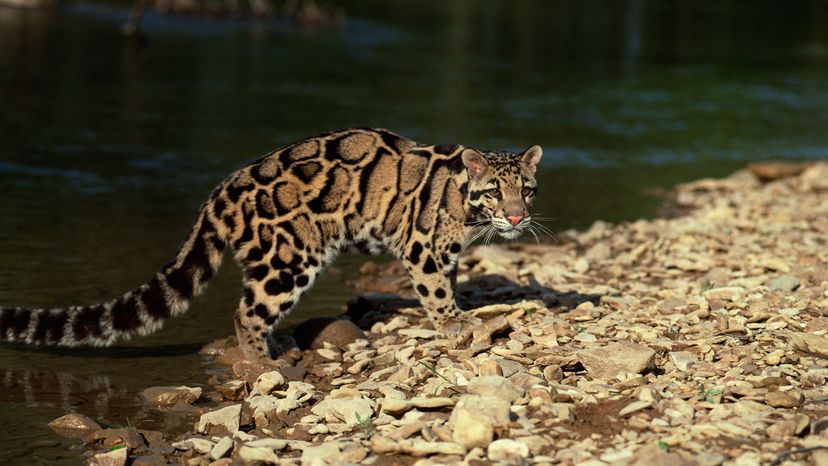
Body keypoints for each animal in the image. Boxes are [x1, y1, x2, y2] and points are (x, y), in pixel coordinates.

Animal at [1, 128, 544, 360]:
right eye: (494, 191)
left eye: (527, 189)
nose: (518, 216)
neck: (467, 210)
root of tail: (219, 193)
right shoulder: (421, 246)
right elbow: (436, 291)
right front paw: (453, 322)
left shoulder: (444, 254)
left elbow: (448, 283)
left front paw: (460, 312)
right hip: (288, 259)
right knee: (245, 313)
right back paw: (264, 362)